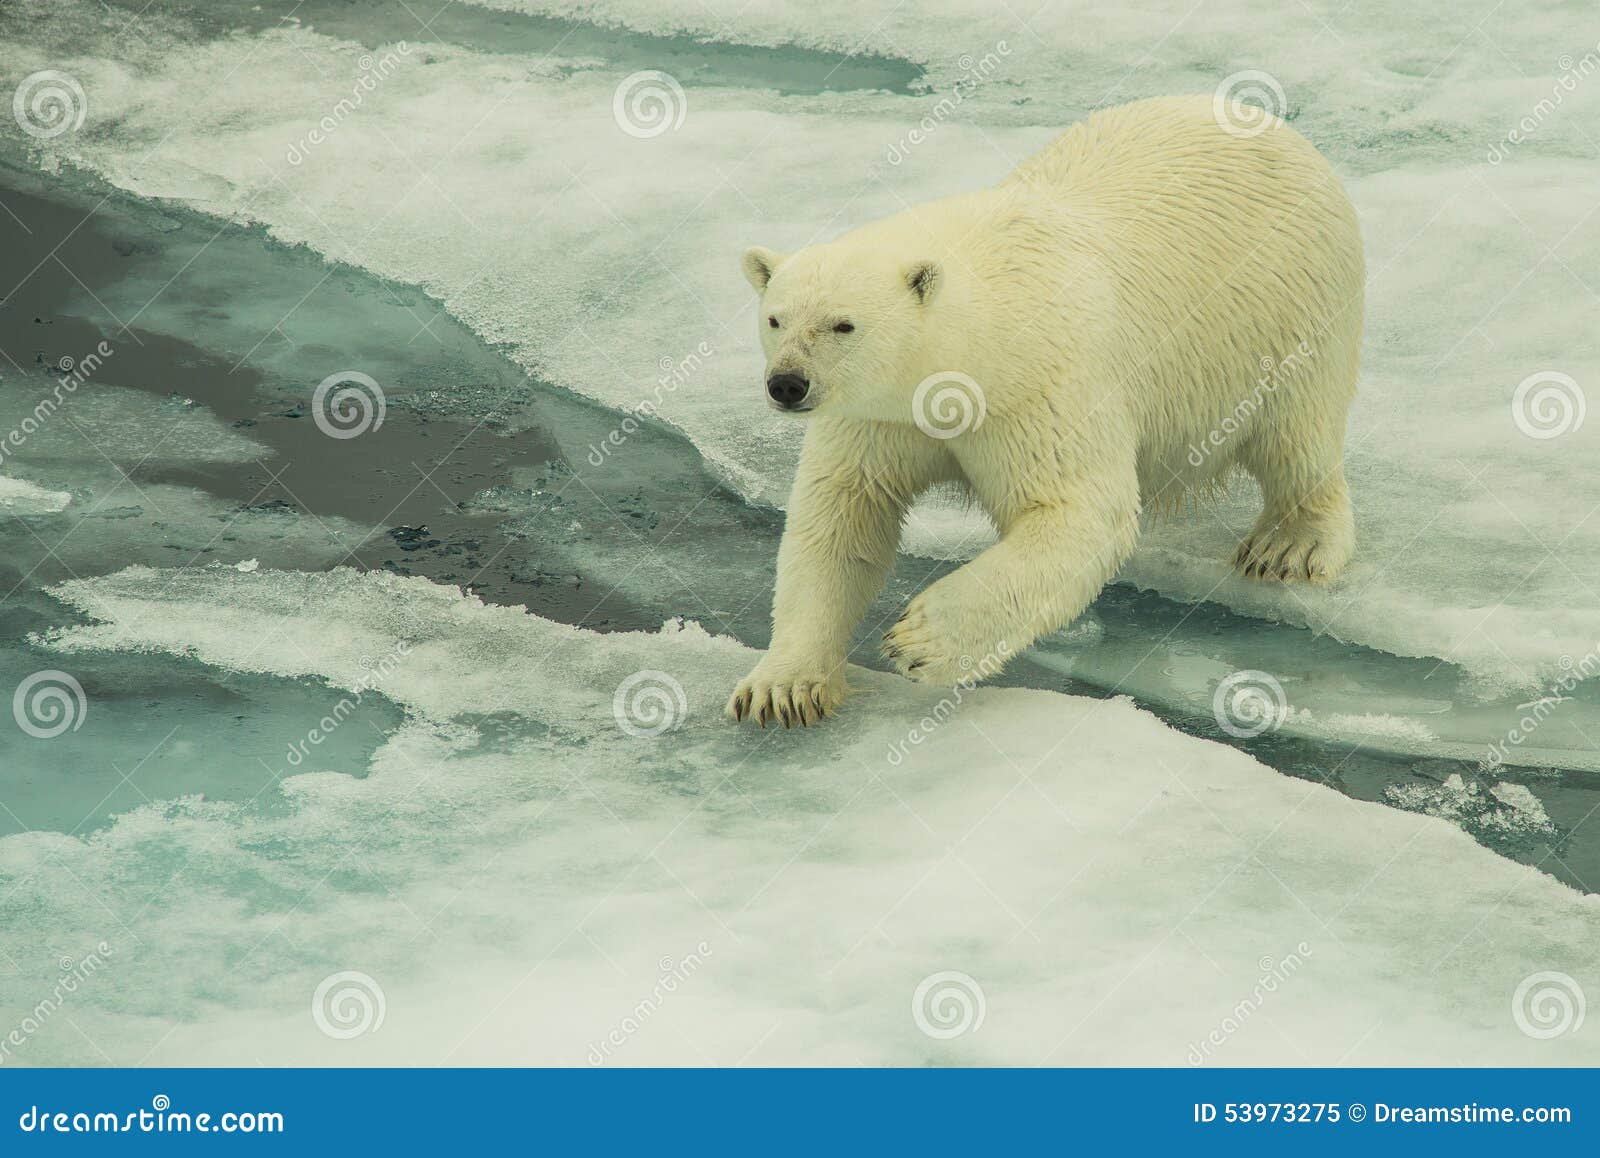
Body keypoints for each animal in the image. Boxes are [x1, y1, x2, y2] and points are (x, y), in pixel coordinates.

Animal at [727, 94, 1364, 728]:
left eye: (844, 324)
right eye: (775, 318)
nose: (787, 384)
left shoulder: (1040, 385)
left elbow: (1078, 512)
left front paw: (919, 639)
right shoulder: (878, 417)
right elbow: (841, 519)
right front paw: (783, 688)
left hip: (1289, 307)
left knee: (1297, 435)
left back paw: (1288, 548)